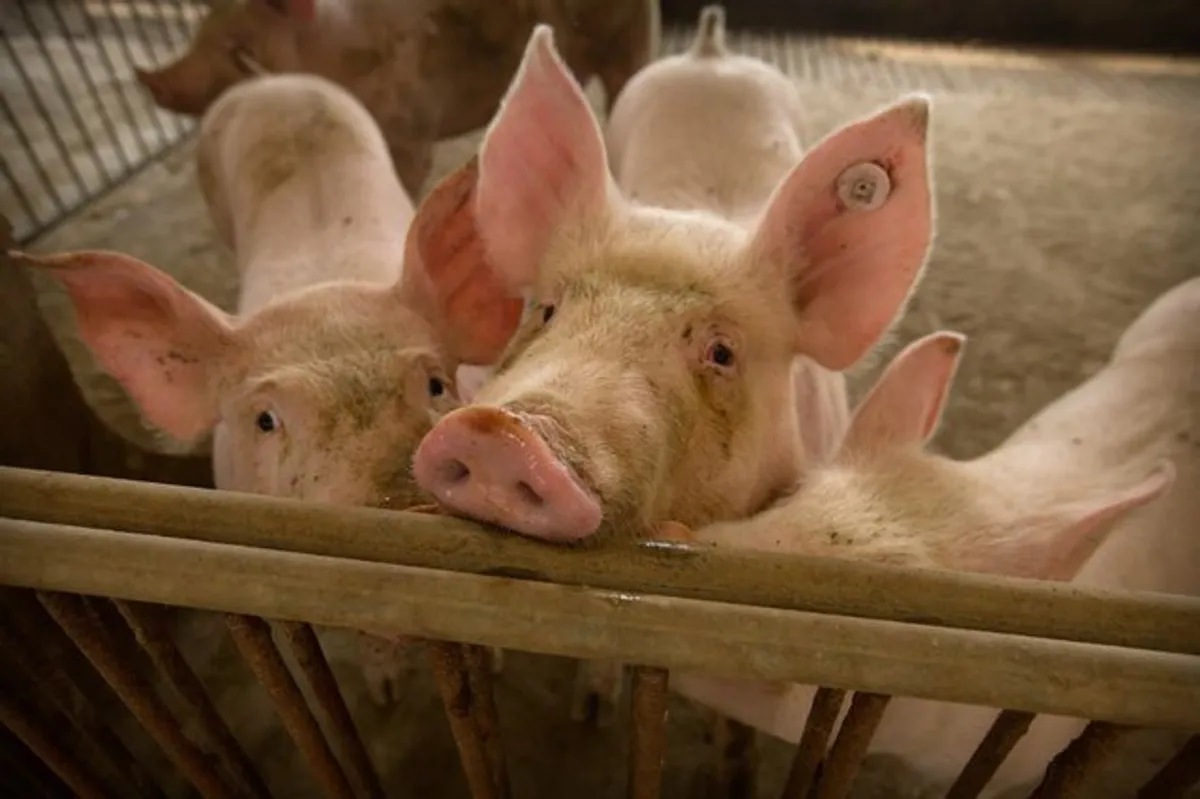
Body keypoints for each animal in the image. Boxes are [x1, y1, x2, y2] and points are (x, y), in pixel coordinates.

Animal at [9, 73, 523, 704]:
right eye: (265, 421)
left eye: (436, 384)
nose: (407, 515)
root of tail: (270, 81)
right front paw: (382, 694)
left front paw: (491, 666)